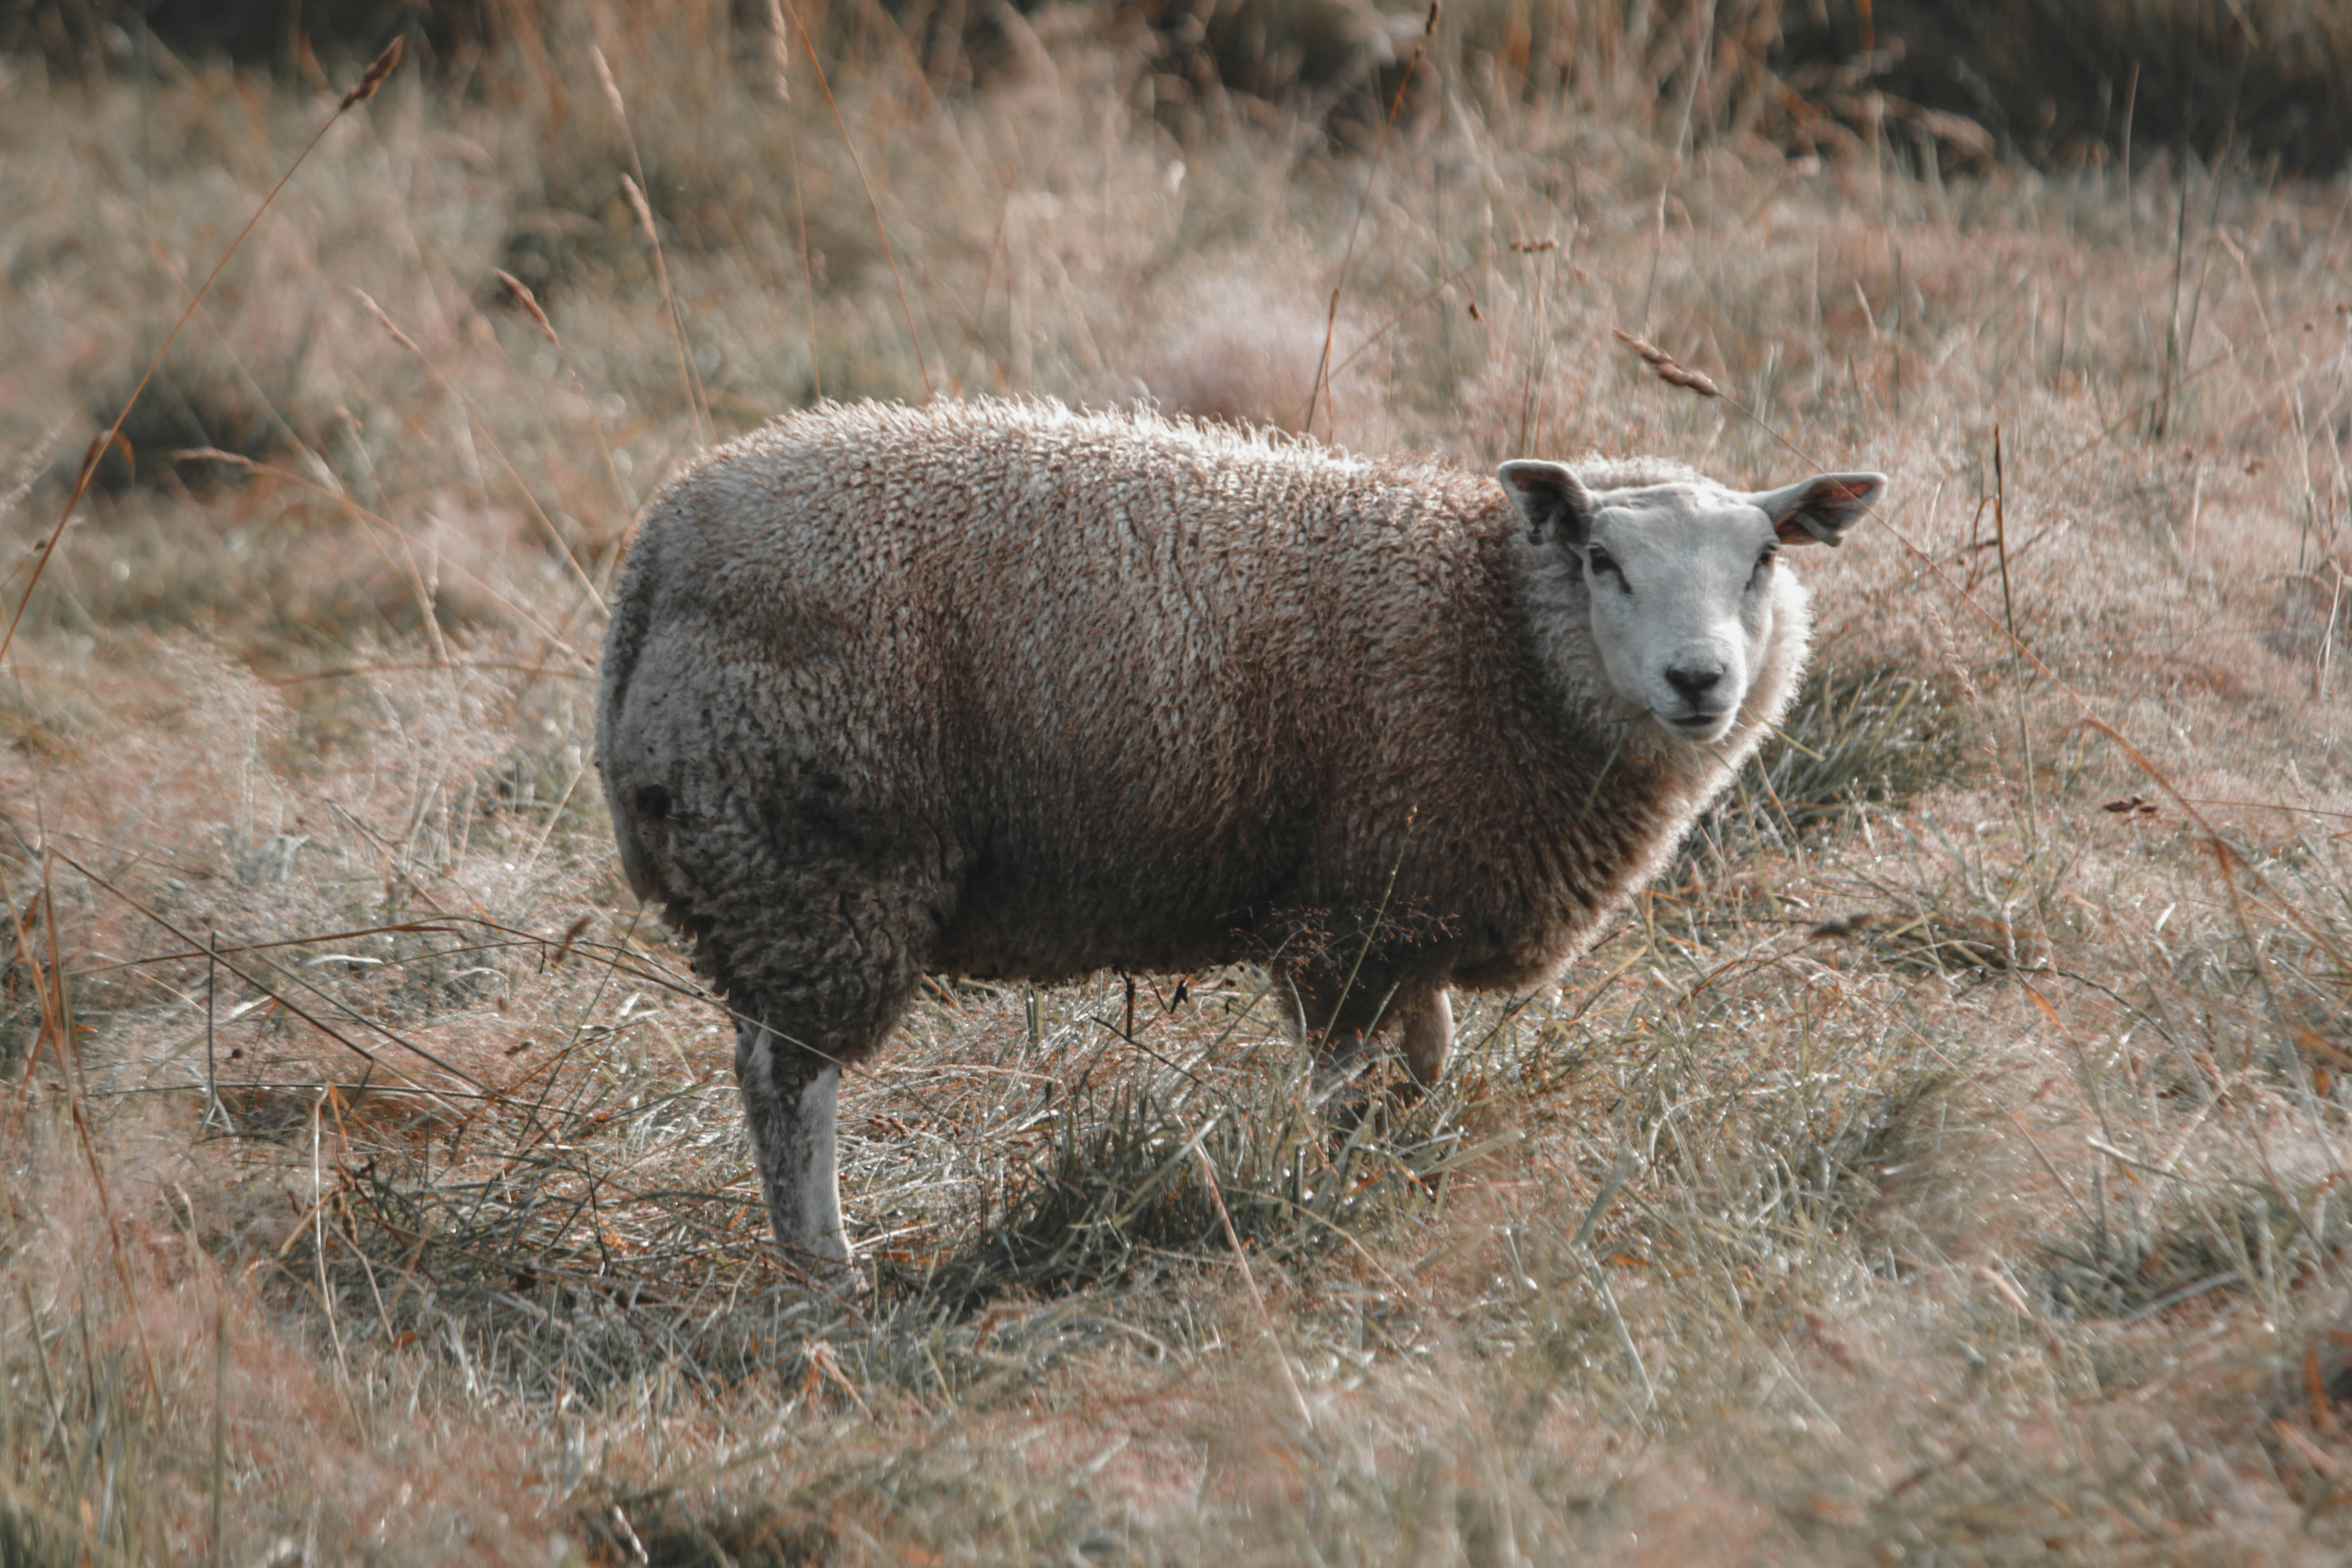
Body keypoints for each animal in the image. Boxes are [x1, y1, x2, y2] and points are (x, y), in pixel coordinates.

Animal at [594, 397, 1883, 1265]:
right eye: (1603, 561)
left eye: (1763, 560)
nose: (1699, 680)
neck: (1499, 633)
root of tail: (657, 551)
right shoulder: (1347, 917)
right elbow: (1350, 1090)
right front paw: (1342, 1203)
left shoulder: (1409, 913)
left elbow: (1425, 1069)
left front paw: (1413, 1181)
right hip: (820, 859)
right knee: (787, 1084)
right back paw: (827, 1273)